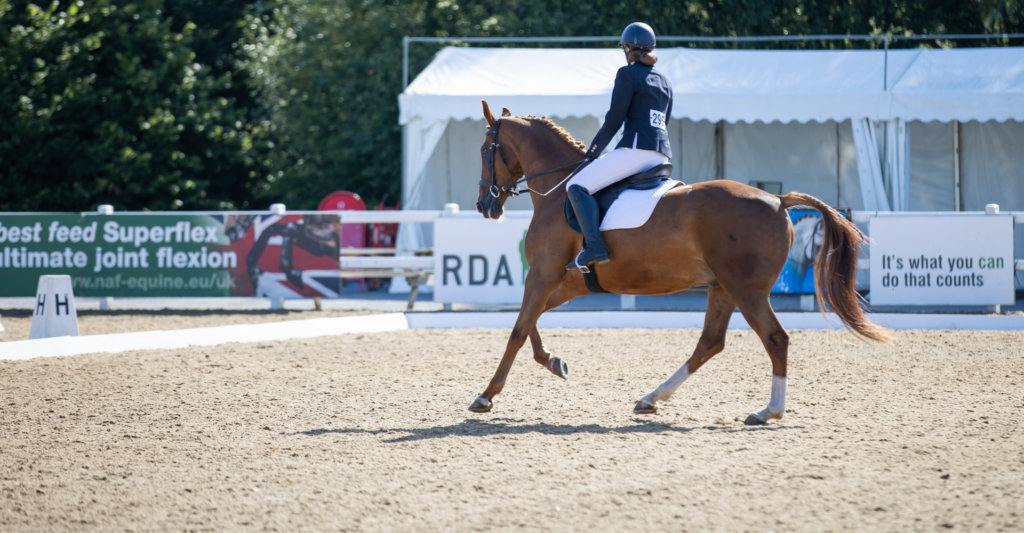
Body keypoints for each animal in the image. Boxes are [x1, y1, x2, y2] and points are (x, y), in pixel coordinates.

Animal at [469, 101, 893, 425]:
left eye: (484, 150)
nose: (485, 206)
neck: (559, 189)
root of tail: (778, 199)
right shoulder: (565, 281)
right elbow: (531, 323)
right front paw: (554, 362)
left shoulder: (543, 275)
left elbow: (518, 330)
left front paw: (486, 395)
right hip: (722, 286)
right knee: (710, 342)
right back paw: (651, 398)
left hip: (746, 289)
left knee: (774, 338)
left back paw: (768, 411)